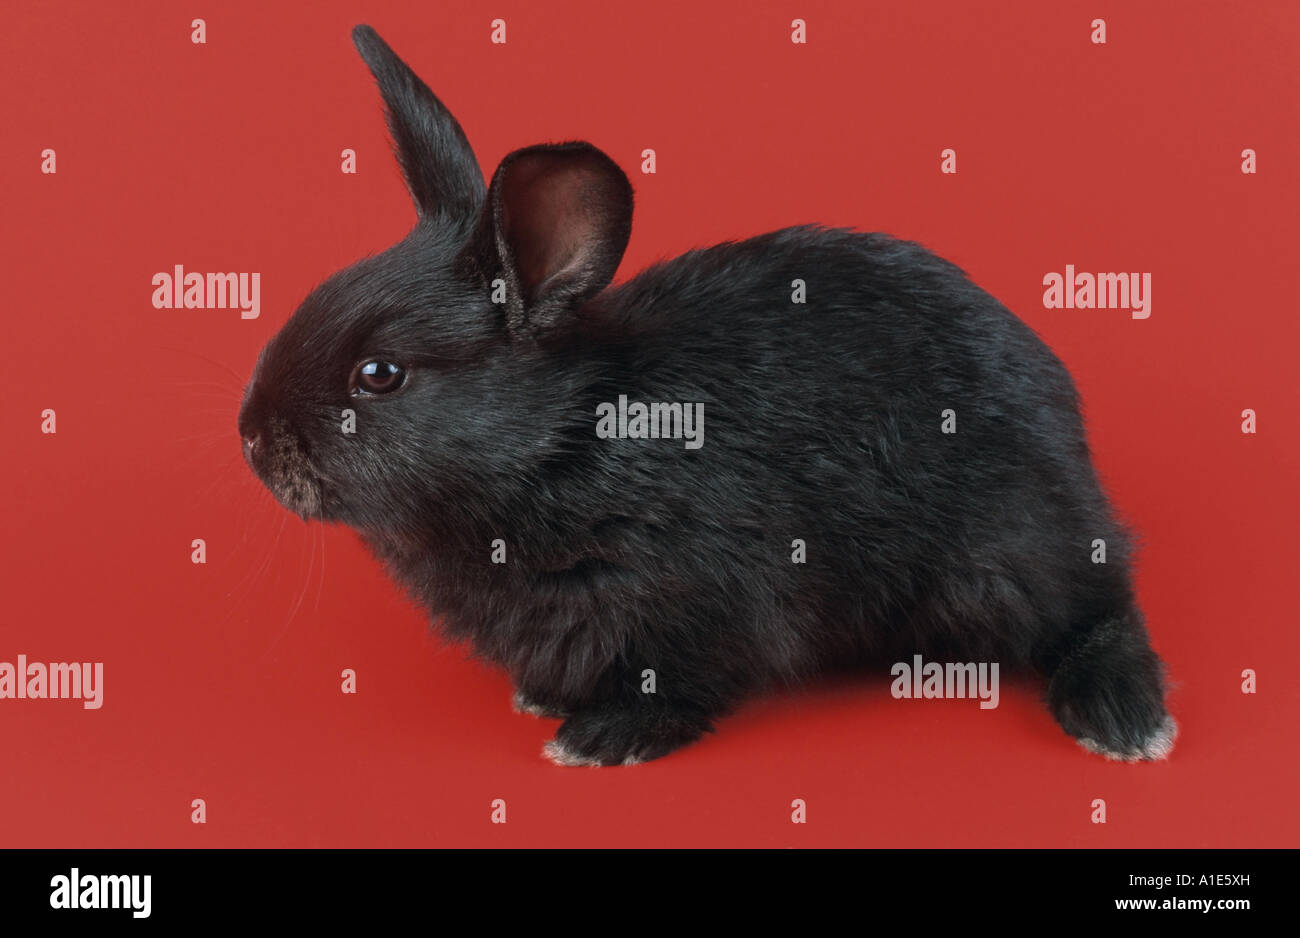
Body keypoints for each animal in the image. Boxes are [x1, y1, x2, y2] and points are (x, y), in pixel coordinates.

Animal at [237, 24, 1176, 767]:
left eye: (379, 375)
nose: (250, 436)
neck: (566, 438)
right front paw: (545, 698)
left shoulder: (705, 594)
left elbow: (684, 681)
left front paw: (601, 739)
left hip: (1008, 550)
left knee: (1100, 604)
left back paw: (1121, 720)